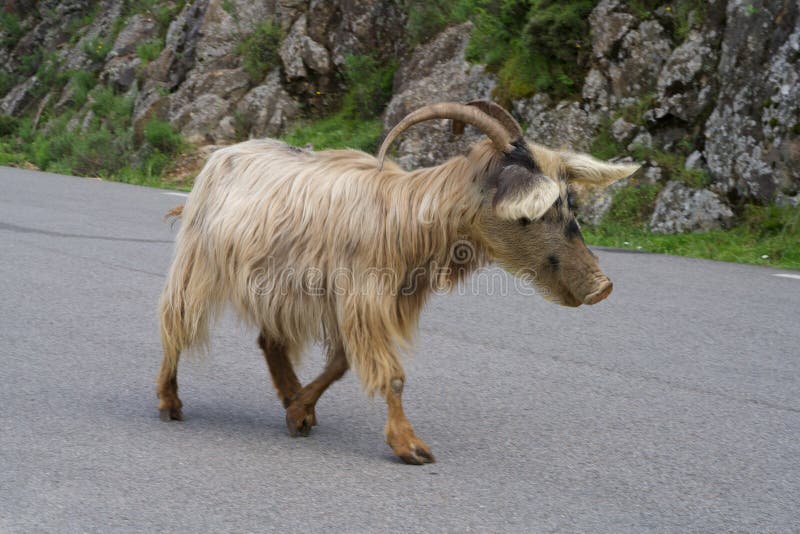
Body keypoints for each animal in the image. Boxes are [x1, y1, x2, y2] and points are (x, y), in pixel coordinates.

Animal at [157, 101, 638, 464]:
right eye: (530, 215)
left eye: (571, 204)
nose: (600, 286)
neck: (403, 217)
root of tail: (222, 154)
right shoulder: (362, 297)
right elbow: (391, 376)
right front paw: (410, 445)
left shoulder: (360, 303)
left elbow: (341, 364)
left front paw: (299, 410)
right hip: (198, 263)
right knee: (175, 322)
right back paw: (168, 400)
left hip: (277, 287)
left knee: (269, 340)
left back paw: (291, 397)